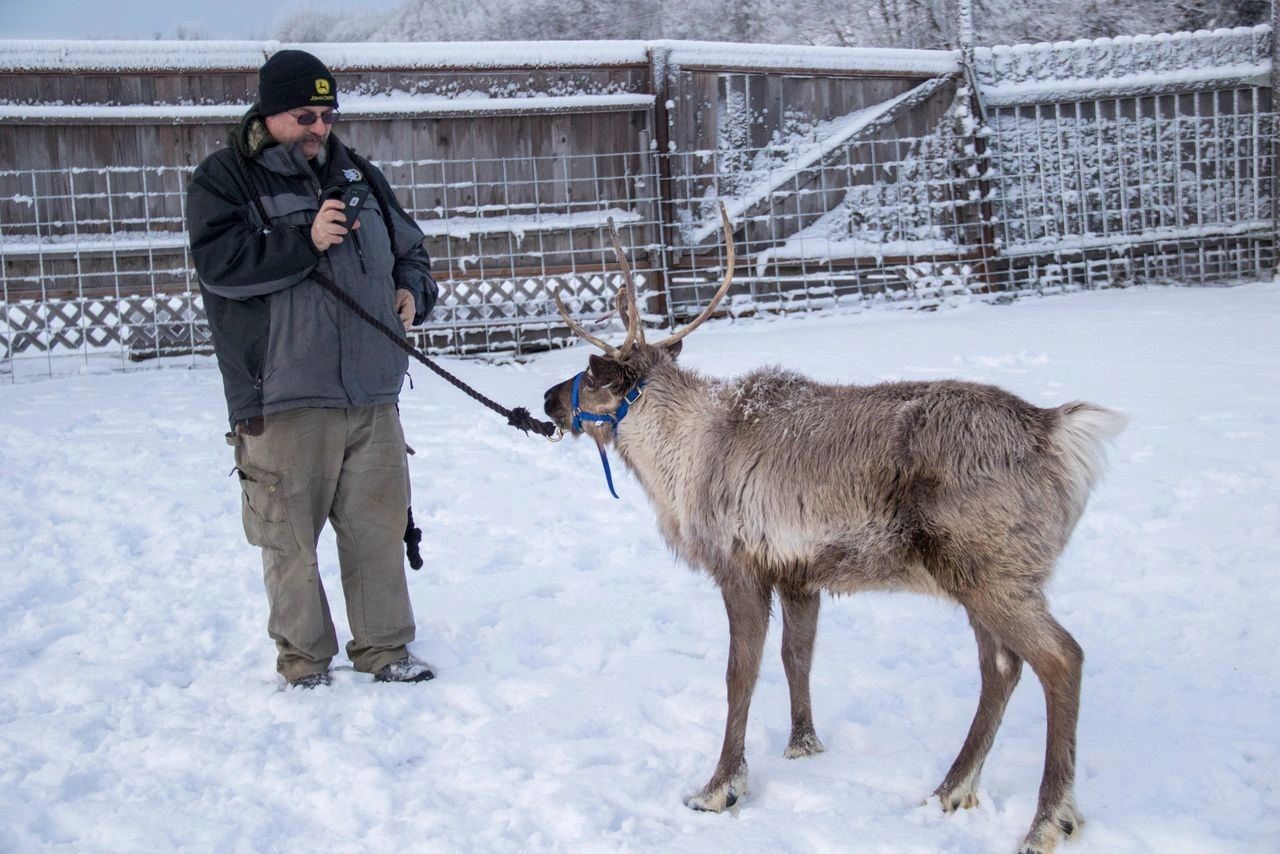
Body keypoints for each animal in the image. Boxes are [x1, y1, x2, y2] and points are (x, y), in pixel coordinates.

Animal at [542, 205, 1126, 854]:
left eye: (590, 375)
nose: (546, 400)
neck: (681, 458)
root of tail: (1054, 432)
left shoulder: (738, 567)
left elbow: (738, 675)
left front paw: (719, 787)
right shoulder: (799, 575)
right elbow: (797, 657)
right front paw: (804, 746)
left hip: (993, 571)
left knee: (1061, 658)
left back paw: (1049, 820)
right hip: (982, 579)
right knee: (1002, 667)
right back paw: (950, 790)